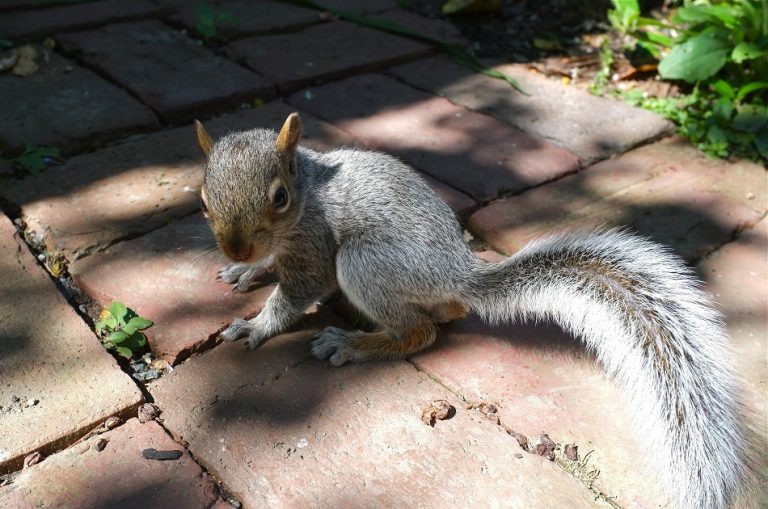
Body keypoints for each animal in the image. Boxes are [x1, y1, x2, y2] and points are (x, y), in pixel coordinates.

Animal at [194, 113, 749, 509]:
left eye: (280, 197)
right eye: (201, 197)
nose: (236, 247)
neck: (309, 188)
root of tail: (456, 274)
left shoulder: (314, 248)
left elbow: (296, 294)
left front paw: (256, 325)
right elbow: (270, 266)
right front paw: (245, 272)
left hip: (365, 263)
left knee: (420, 332)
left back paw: (353, 343)